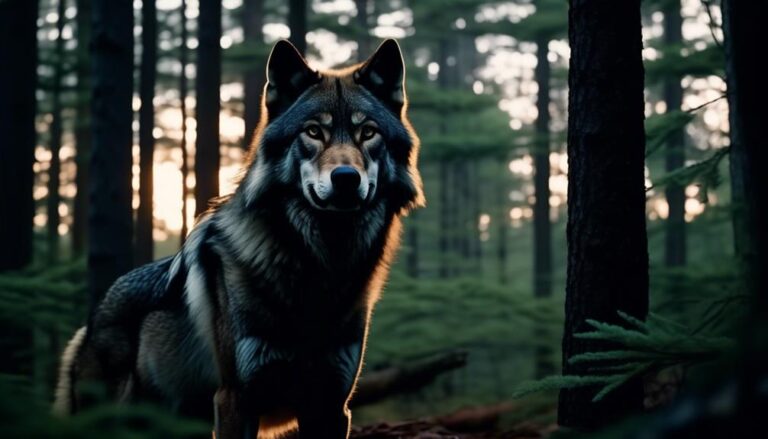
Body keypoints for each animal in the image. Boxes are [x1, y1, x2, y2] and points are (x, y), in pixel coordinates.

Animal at [53, 39, 424, 439]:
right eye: (313, 132)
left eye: (368, 133)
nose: (345, 178)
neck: (321, 266)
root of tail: (91, 321)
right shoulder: (236, 398)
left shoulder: (331, 405)